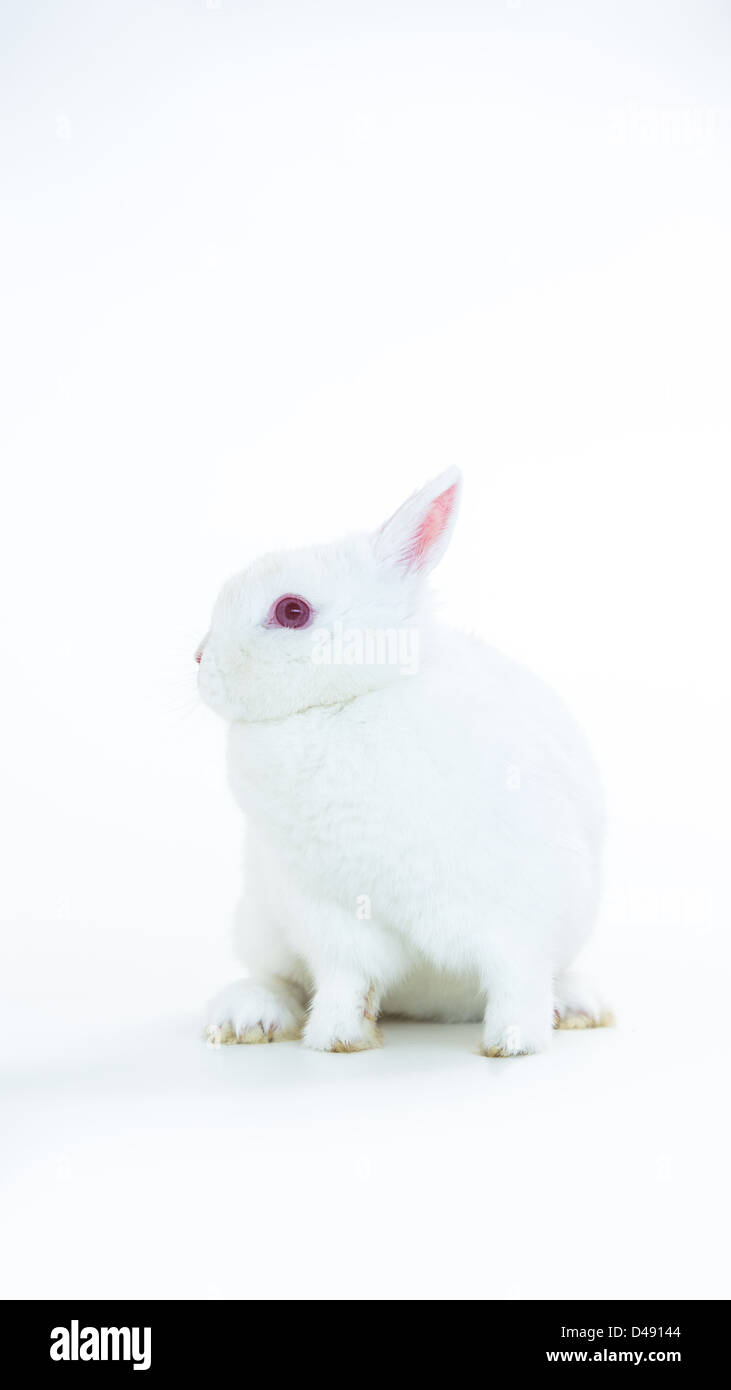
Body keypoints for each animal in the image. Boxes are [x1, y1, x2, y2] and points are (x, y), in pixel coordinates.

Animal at [198, 467, 611, 1056]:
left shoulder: (519, 909)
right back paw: (248, 1018)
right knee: (277, 977)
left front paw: (513, 1045)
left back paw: (578, 1006)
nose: (198, 661)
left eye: (291, 611)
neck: (355, 698)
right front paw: (336, 1040)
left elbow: (518, 978)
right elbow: (345, 980)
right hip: (262, 922)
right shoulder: (331, 916)